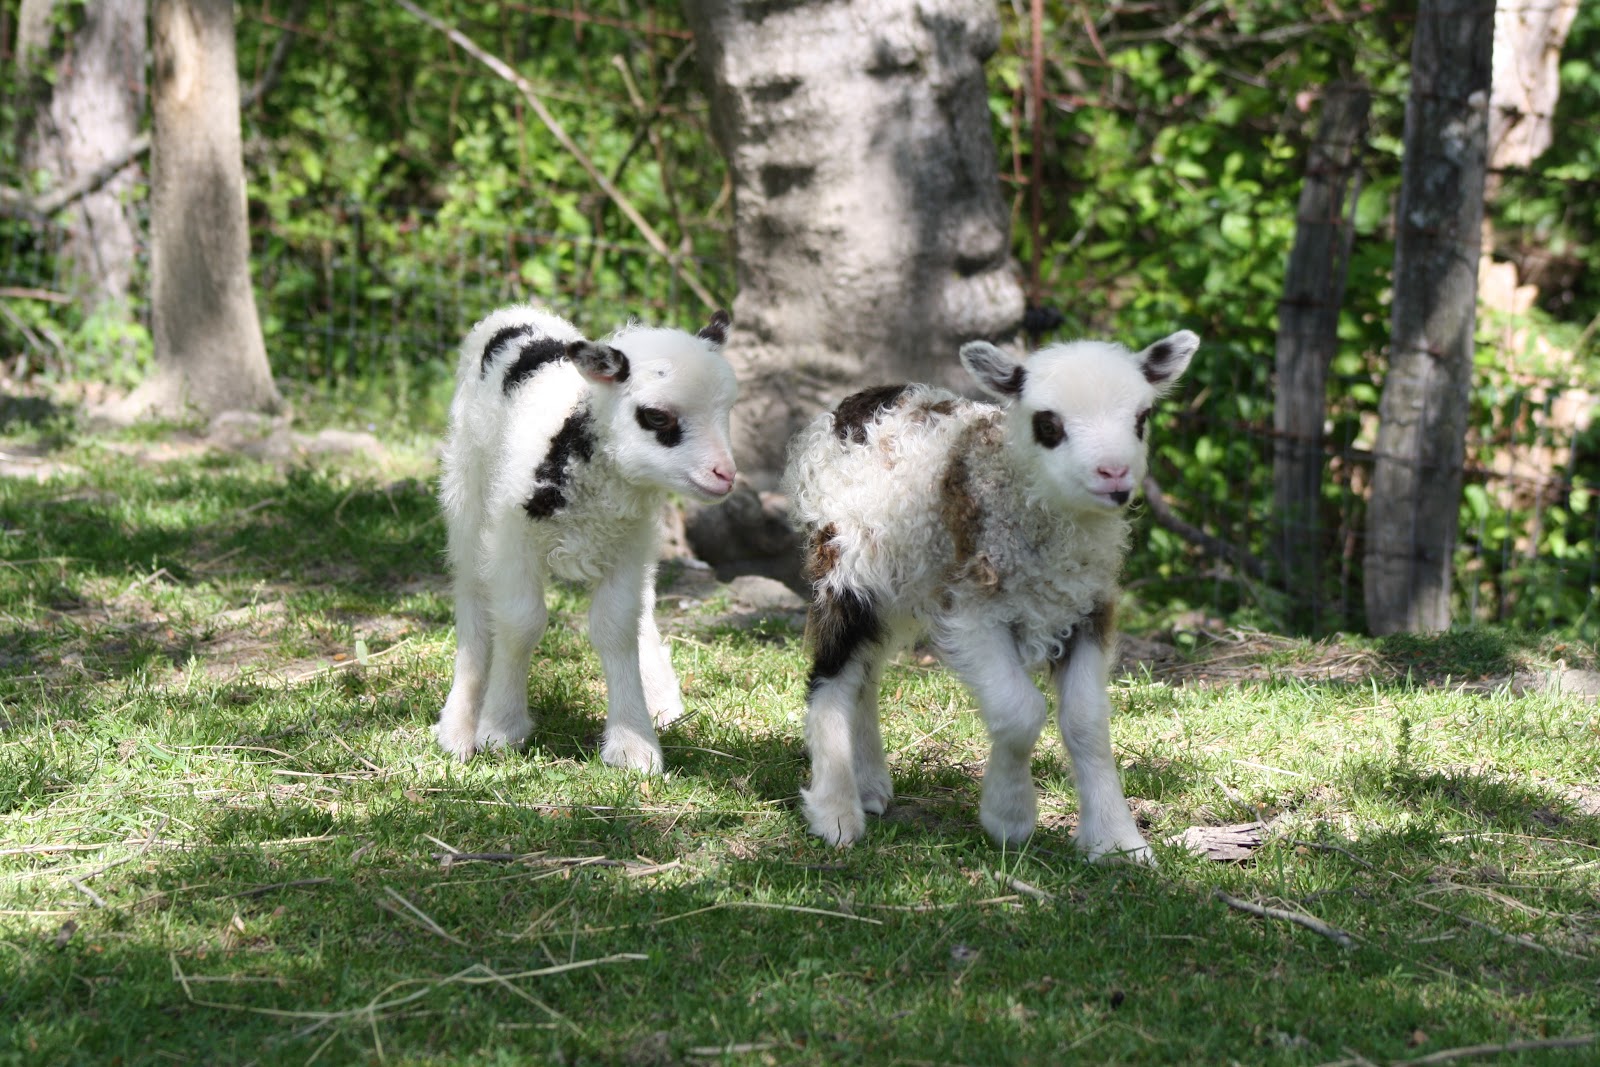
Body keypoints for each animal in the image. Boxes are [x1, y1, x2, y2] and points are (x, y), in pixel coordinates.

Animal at [435, 304, 739, 773]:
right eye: (656, 416)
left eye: (727, 409)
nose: (725, 475)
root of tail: (515, 311)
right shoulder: (511, 539)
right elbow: (521, 622)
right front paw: (501, 727)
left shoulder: (628, 546)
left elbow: (616, 627)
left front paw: (633, 744)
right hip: (465, 489)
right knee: (471, 593)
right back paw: (457, 726)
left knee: (642, 612)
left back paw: (661, 698)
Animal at [781, 329, 1200, 862]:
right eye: (1048, 423)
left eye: (1141, 419)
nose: (1114, 474)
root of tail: (860, 402)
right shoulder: (973, 610)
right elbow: (1020, 712)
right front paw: (1010, 817)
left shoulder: (1086, 607)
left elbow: (1086, 723)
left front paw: (1117, 840)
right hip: (846, 563)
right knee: (831, 673)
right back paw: (835, 811)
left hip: (898, 580)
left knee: (865, 673)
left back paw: (870, 784)